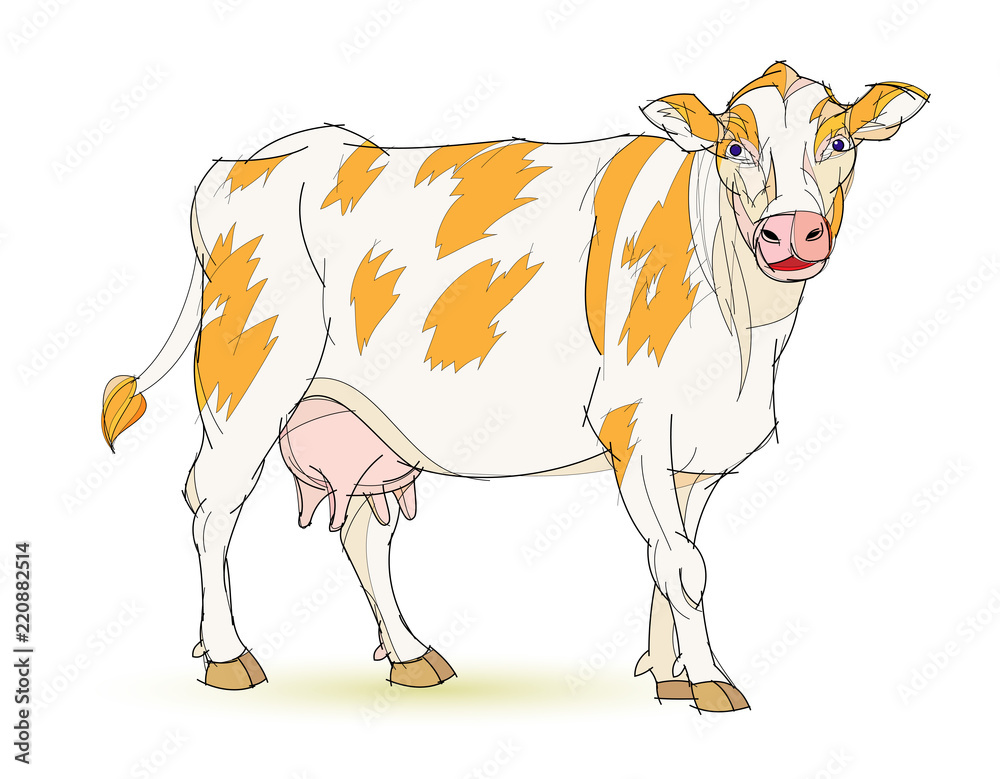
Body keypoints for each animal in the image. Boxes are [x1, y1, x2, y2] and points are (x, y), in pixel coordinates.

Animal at [101, 63, 926, 711]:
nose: (792, 231)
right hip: (246, 384)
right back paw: (227, 655)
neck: (745, 339)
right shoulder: (633, 424)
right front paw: (712, 681)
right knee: (213, 505)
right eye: (734, 145)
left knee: (364, 533)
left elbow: (671, 561)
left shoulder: (695, 456)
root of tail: (246, 162)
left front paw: (670, 674)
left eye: (840, 142)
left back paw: (410, 653)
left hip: (367, 428)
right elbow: (685, 565)